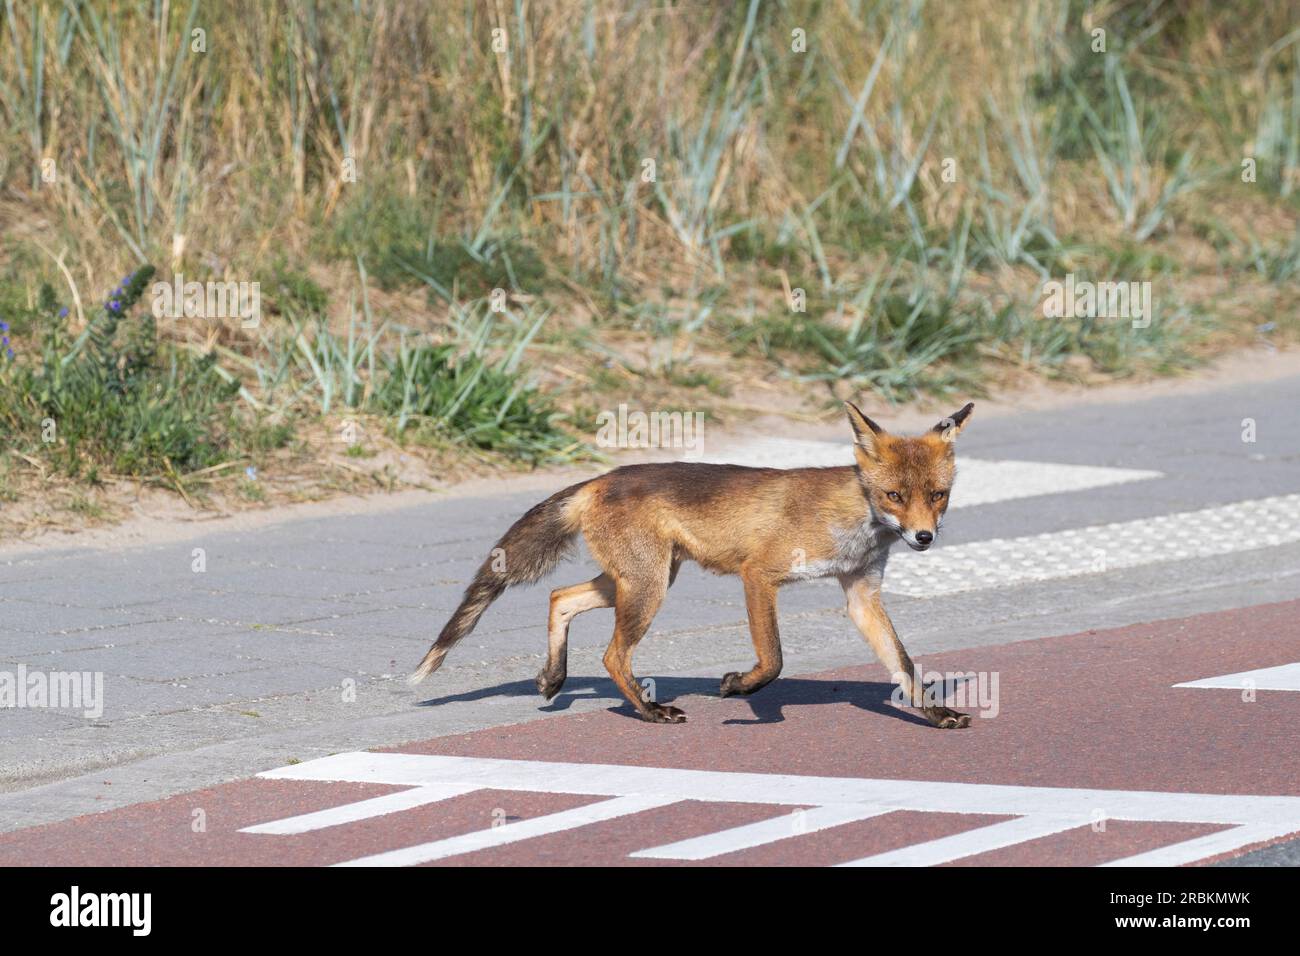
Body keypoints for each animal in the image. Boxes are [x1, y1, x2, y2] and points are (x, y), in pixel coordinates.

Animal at [410, 400, 975, 728]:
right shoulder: (759, 575)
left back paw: (554, 679)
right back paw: (647, 711)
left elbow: (904, 665)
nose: (924, 537)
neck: (852, 516)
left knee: (560, 597)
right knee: (612, 655)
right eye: (894, 495)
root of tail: (600, 479)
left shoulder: (862, 594)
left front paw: (932, 712)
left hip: (639, 580)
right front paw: (741, 690)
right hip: (647, 588)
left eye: (938, 495)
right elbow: (774, 659)